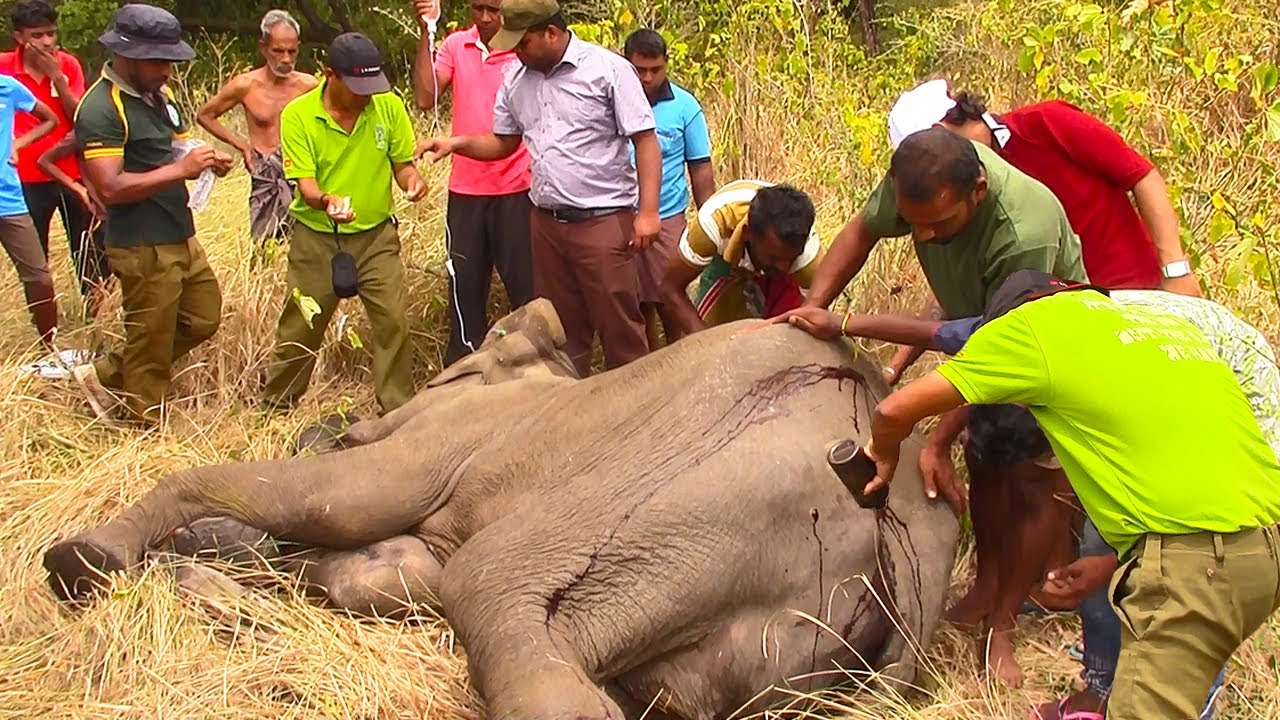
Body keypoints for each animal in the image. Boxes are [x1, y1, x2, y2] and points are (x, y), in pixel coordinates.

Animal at [42, 298, 960, 720]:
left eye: (454, 367)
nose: (335, 426)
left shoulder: (447, 442)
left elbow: (339, 501)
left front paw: (82, 561)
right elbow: (383, 571)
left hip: (690, 508)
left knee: (495, 594)